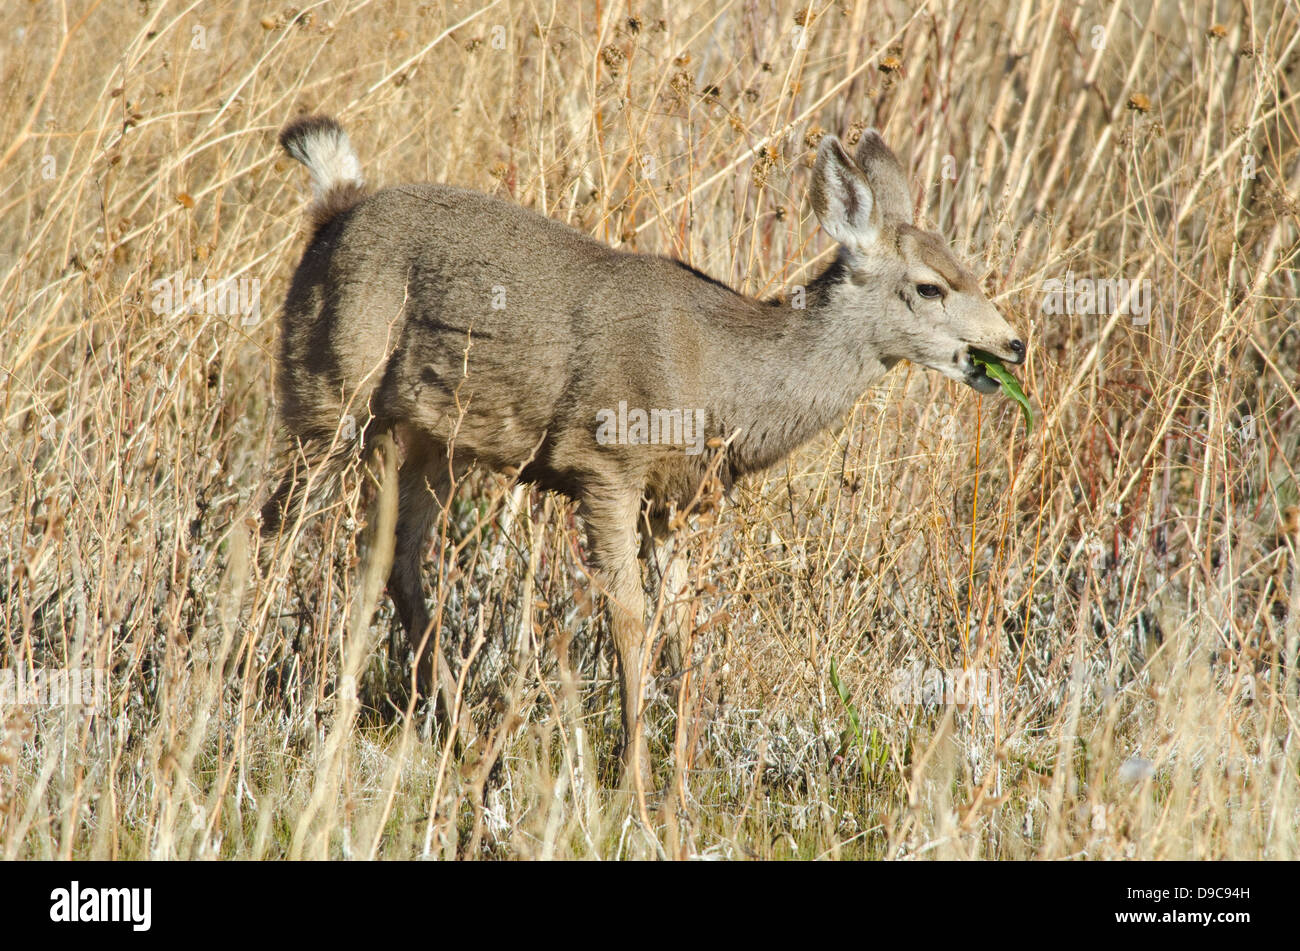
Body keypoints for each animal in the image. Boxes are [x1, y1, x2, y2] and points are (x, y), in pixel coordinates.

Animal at [260, 114, 1026, 784]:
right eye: (930, 286)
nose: (1014, 343)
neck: (718, 377)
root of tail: (336, 206)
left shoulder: (676, 501)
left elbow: (682, 624)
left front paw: (683, 780)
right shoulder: (604, 466)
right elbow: (629, 618)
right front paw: (634, 783)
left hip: (431, 442)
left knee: (397, 561)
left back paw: (468, 741)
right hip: (328, 394)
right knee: (275, 525)